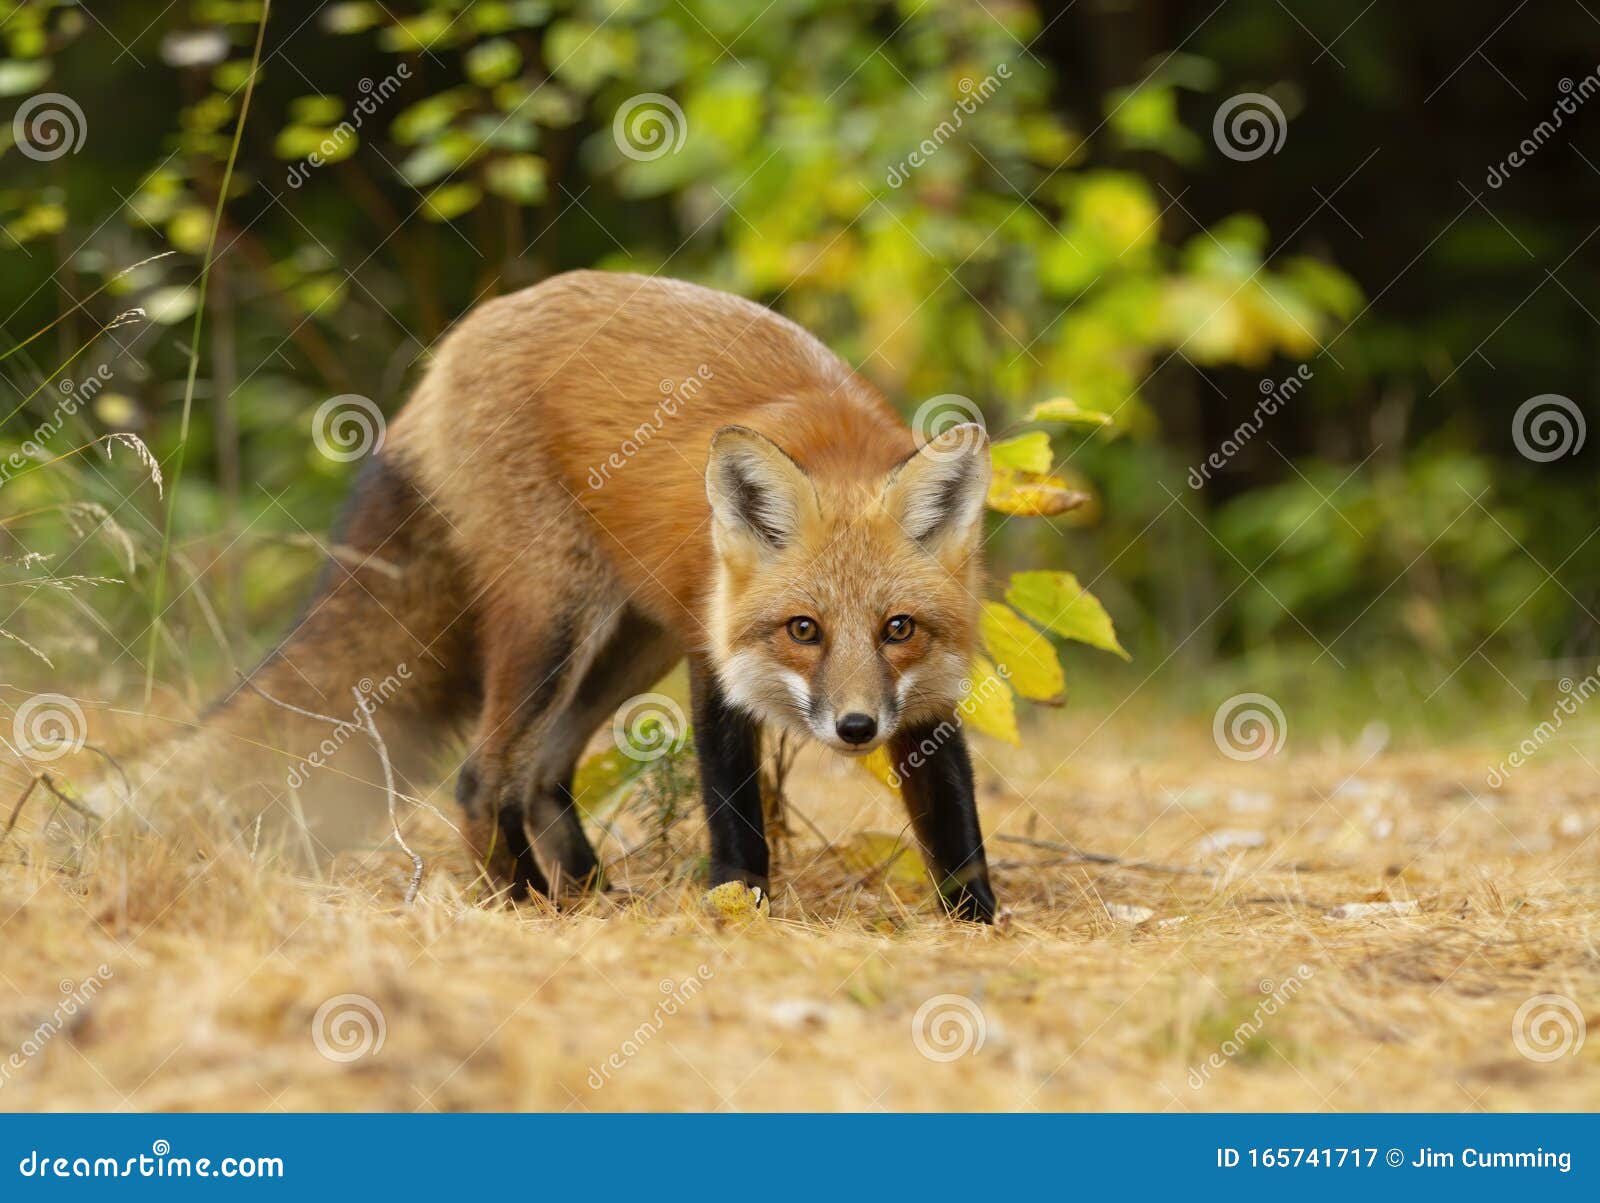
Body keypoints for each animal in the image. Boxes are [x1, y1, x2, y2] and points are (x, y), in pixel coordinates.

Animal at [113, 271, 998, 921]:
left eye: (898, 627)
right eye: (803, 628)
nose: (855, 728)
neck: (837, 448)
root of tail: (467, 335)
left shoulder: (921, 696)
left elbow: (956, 822)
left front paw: (977, 920)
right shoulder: (716, 662)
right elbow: (736, 814)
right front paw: (739, 910)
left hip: (632, 642)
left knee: (539, 774)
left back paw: (591, 896)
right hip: (557, 622)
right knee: (482, 776)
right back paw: (527, 906)